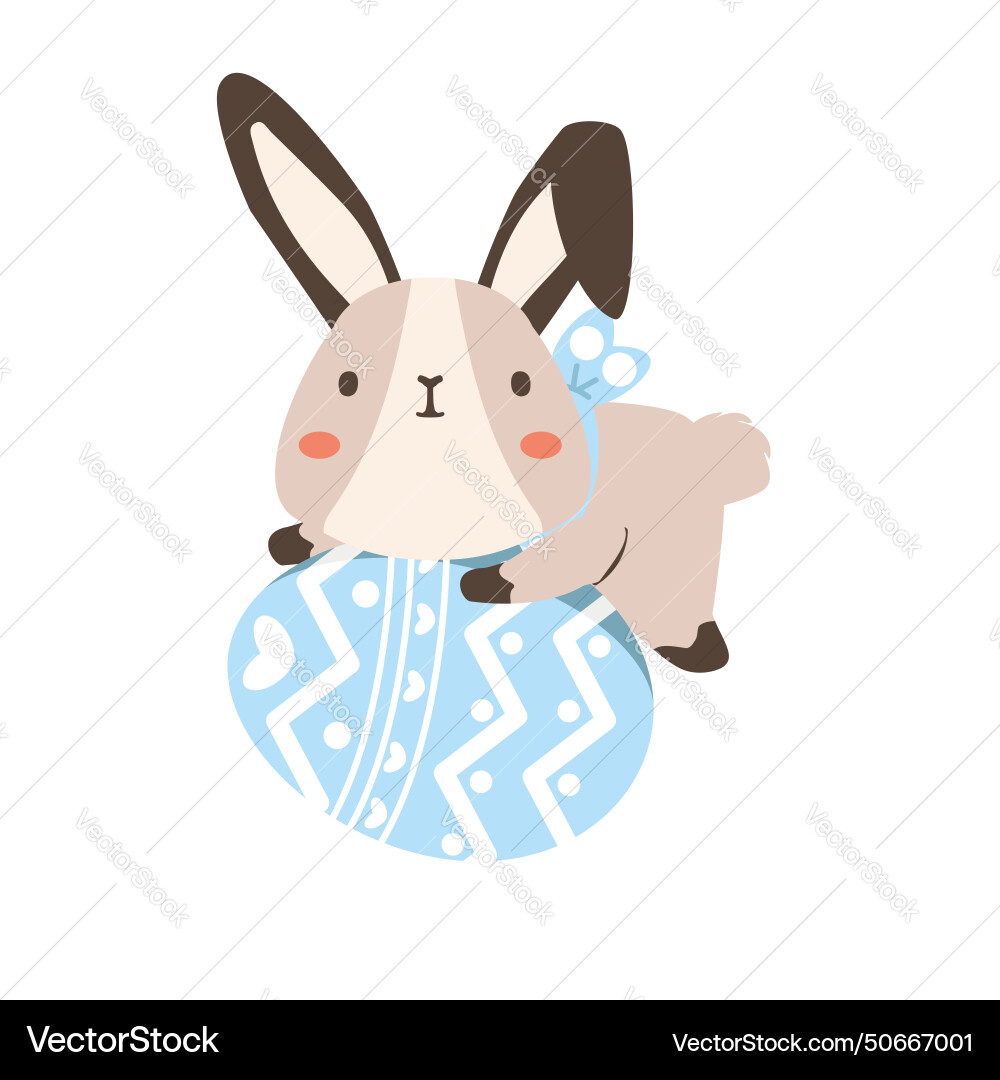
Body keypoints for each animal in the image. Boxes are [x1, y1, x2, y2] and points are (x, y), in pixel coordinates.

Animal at [217, 74, 769, 673]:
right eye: (347, 382)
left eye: (520, 384)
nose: (429, 387)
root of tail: (703, 439)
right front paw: (292, 539)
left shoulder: (588, 533)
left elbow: (552, 563)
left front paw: (487, 583)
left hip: (667, 559)